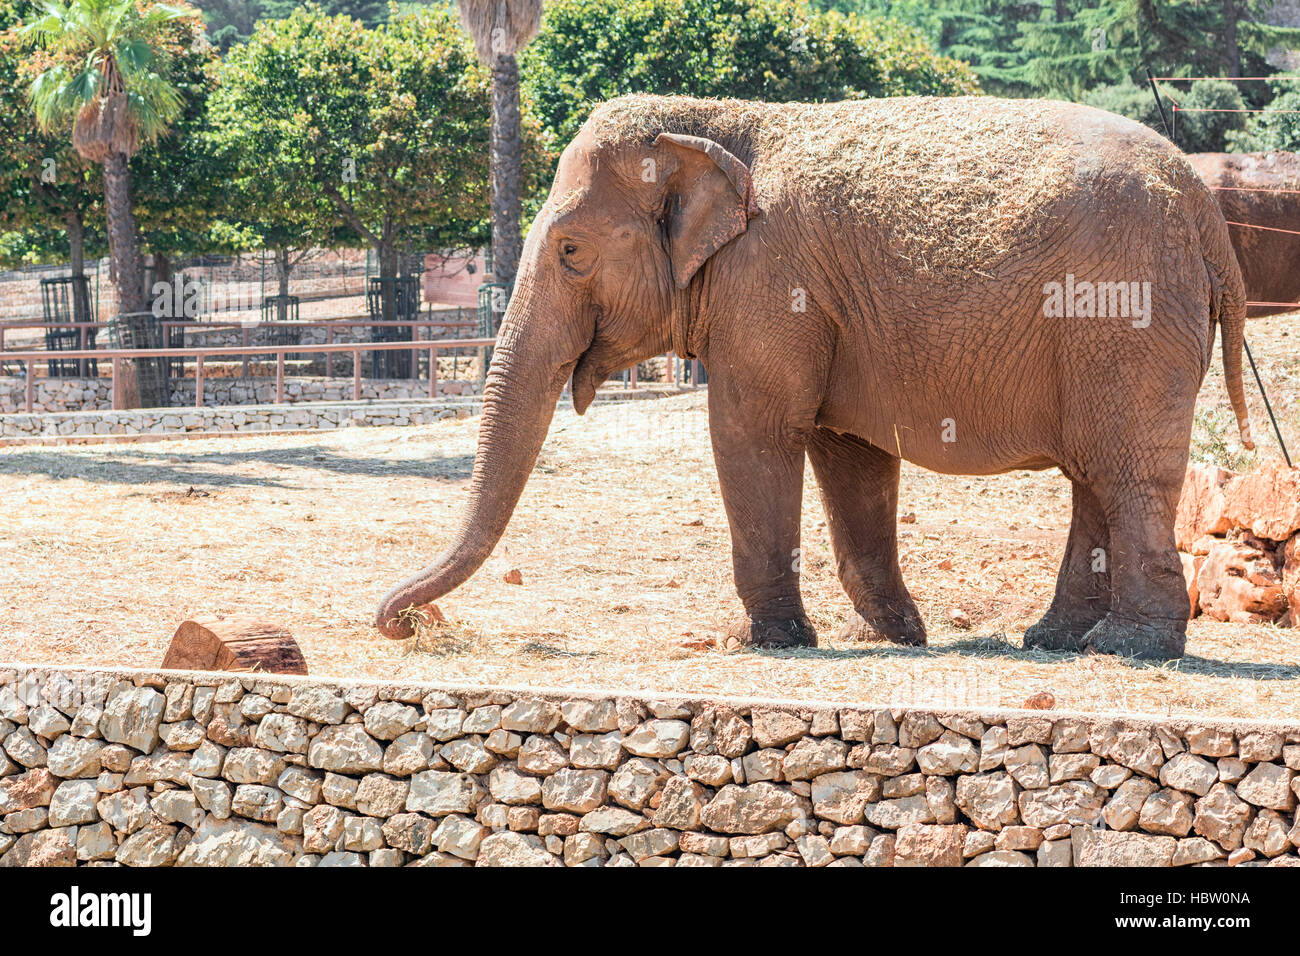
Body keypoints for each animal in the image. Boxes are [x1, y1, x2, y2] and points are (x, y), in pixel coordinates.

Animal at [376, 93, 1254, 661]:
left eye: (570, 252)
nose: (399, 623)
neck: (713, 123)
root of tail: (1202, 204)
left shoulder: (770, 286)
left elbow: (752, 431)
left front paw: (764, 644)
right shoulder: (831, 314)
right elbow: (850, 451)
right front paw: (899, 636)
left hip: (1123, 314)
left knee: (1126, 469)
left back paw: (1132, 648)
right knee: (1092, 473)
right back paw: (1055, 642)